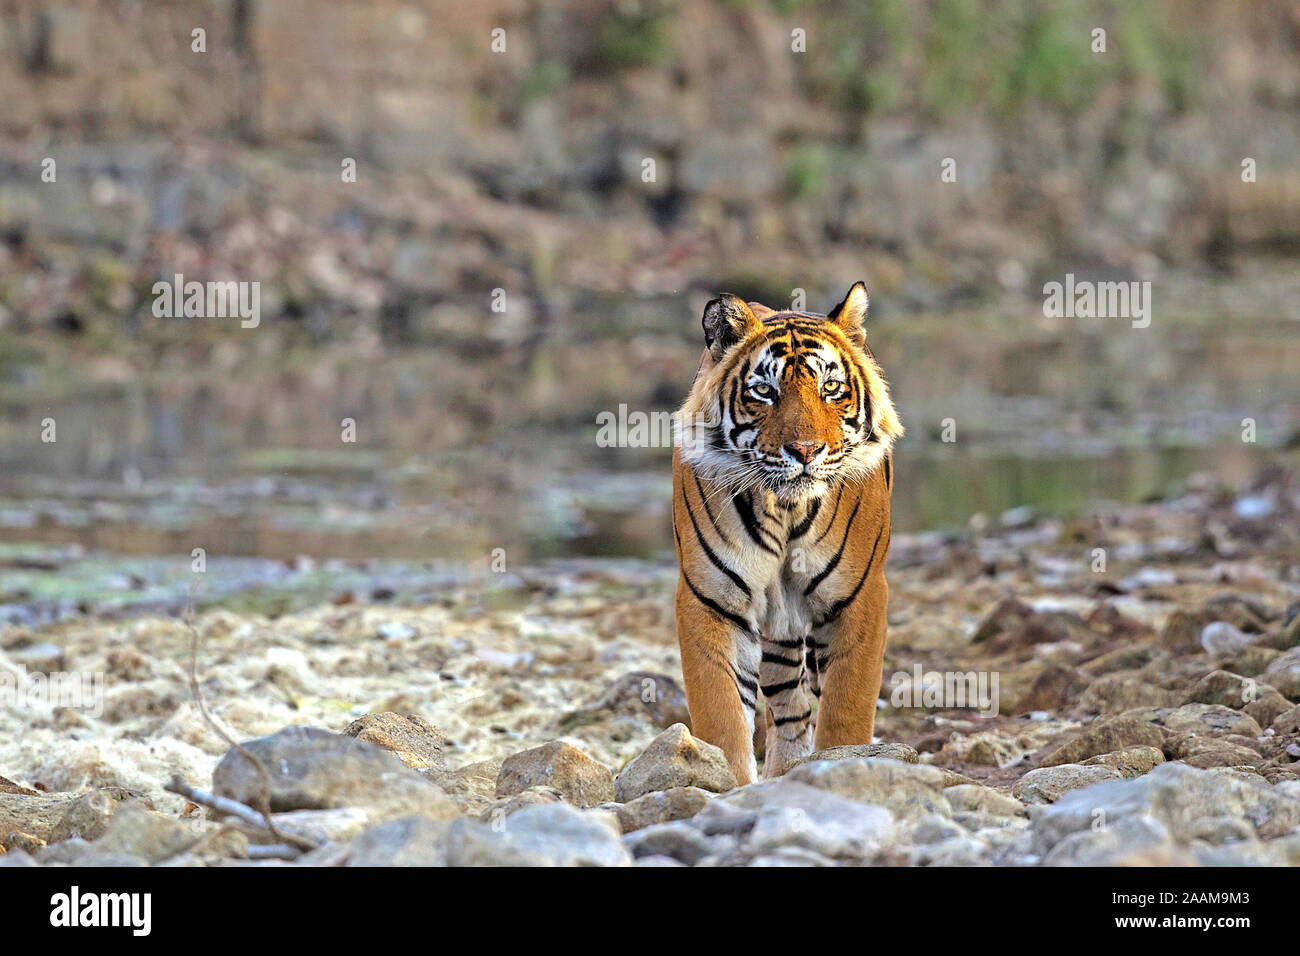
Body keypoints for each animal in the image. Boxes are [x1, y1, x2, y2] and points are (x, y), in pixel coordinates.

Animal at [671, 281, 903, 785]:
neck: (786, 509)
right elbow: (721, 713)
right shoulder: (709, 598)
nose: (805, 451)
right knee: (788, 706)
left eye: (830, 387)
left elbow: (845, 708)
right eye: (764, 391)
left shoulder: (859, 596)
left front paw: (842, 765)